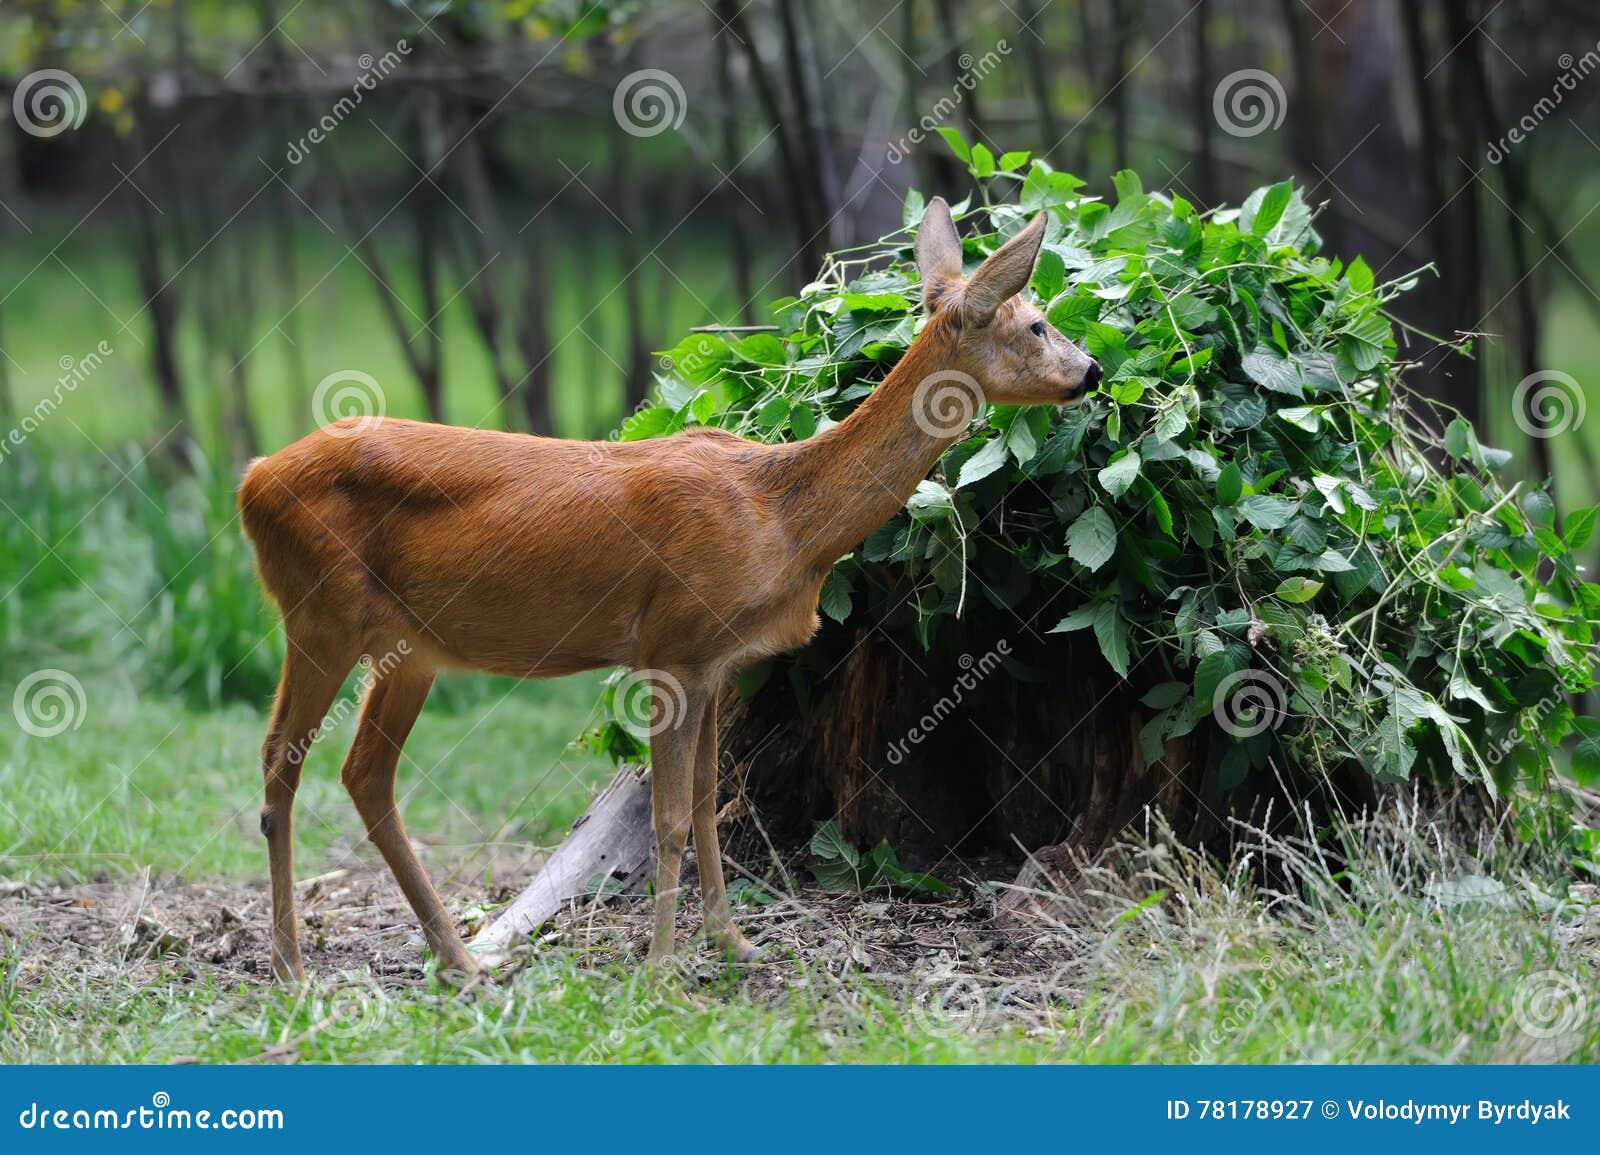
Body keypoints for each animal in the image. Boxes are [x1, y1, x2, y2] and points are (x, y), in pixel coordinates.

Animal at [237, 196, 1100, 981]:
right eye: (1036, 324)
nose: (1091, 370)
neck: (779, 516)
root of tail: (251, 481)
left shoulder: (719, 661)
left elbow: (713, 805)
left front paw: (733, 943)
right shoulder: (672, 644)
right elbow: (671, 821)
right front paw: (660, 969)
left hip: (409, 647)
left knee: (364, 773)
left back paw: (460, 959)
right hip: (320, 612)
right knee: (280, 756)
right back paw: (291, 964)